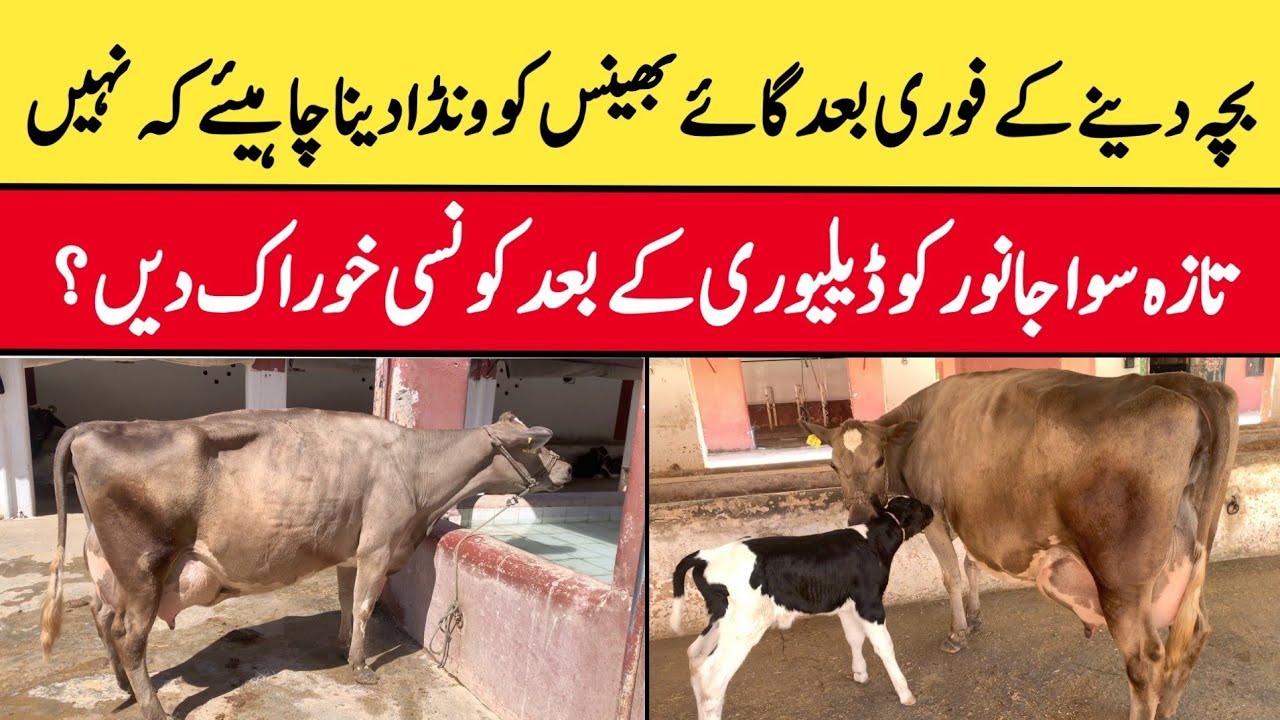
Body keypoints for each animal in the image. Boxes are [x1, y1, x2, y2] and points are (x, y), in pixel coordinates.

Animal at [40, 408, 572, 720]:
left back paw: (123, 688)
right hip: (145, 569)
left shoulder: (350, 553)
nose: (567, 468)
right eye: (535, 444)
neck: (419, 469)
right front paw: (361, 666)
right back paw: (154, 709)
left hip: (111, 570)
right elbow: (365, 608)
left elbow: (346, 601)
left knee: (102, 618)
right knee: (130, 638)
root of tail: (93, 428)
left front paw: (341, 646)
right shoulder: (379, 548)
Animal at [670, 495, 935, 719]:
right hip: (745, 626)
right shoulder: (870, 603)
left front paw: (860, 673)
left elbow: (854, 638)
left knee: (695, 655)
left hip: (722, 618)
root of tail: (708, 555)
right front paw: (905, 693)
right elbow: (884, 646)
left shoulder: (847, 605)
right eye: (918, 505)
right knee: (711, 678)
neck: (872, 542)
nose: (933, 508)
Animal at [800, 368, 1239, 720]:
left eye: (877, 460)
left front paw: (958, 633)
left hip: (1122, 582)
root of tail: (1184, 383)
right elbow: (971, 565)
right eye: (833, 464)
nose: (858, 516)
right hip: (1191, 561)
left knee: (1145, 662)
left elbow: (951, 575)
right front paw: (975, 617)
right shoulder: (973, 519)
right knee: (1195, 633)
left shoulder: (936, 513)